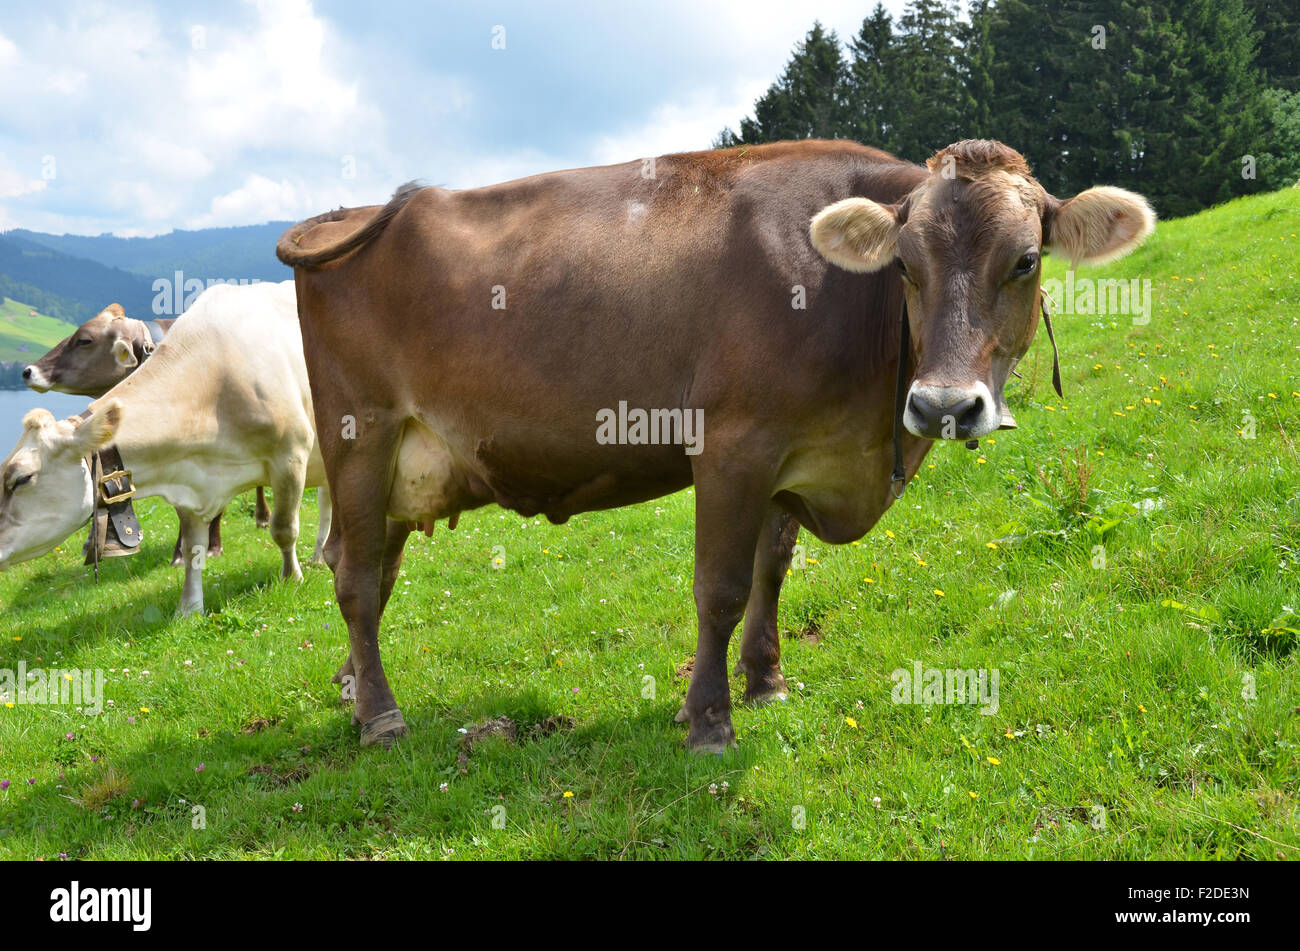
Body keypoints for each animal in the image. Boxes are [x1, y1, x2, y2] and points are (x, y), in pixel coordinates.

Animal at [276, 139, 1154, 752]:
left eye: (1026, 260)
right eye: (905, 264)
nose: (944, 405)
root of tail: (355, 212)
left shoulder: (792, 458)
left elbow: (773, 570)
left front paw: (765, 680)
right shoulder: (733, 447)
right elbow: (722, 588)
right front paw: (708, 720)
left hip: (400, 467)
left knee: (370, 569)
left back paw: (351, 687)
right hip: (360, 435)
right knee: (356, 582)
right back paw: (380, 715)